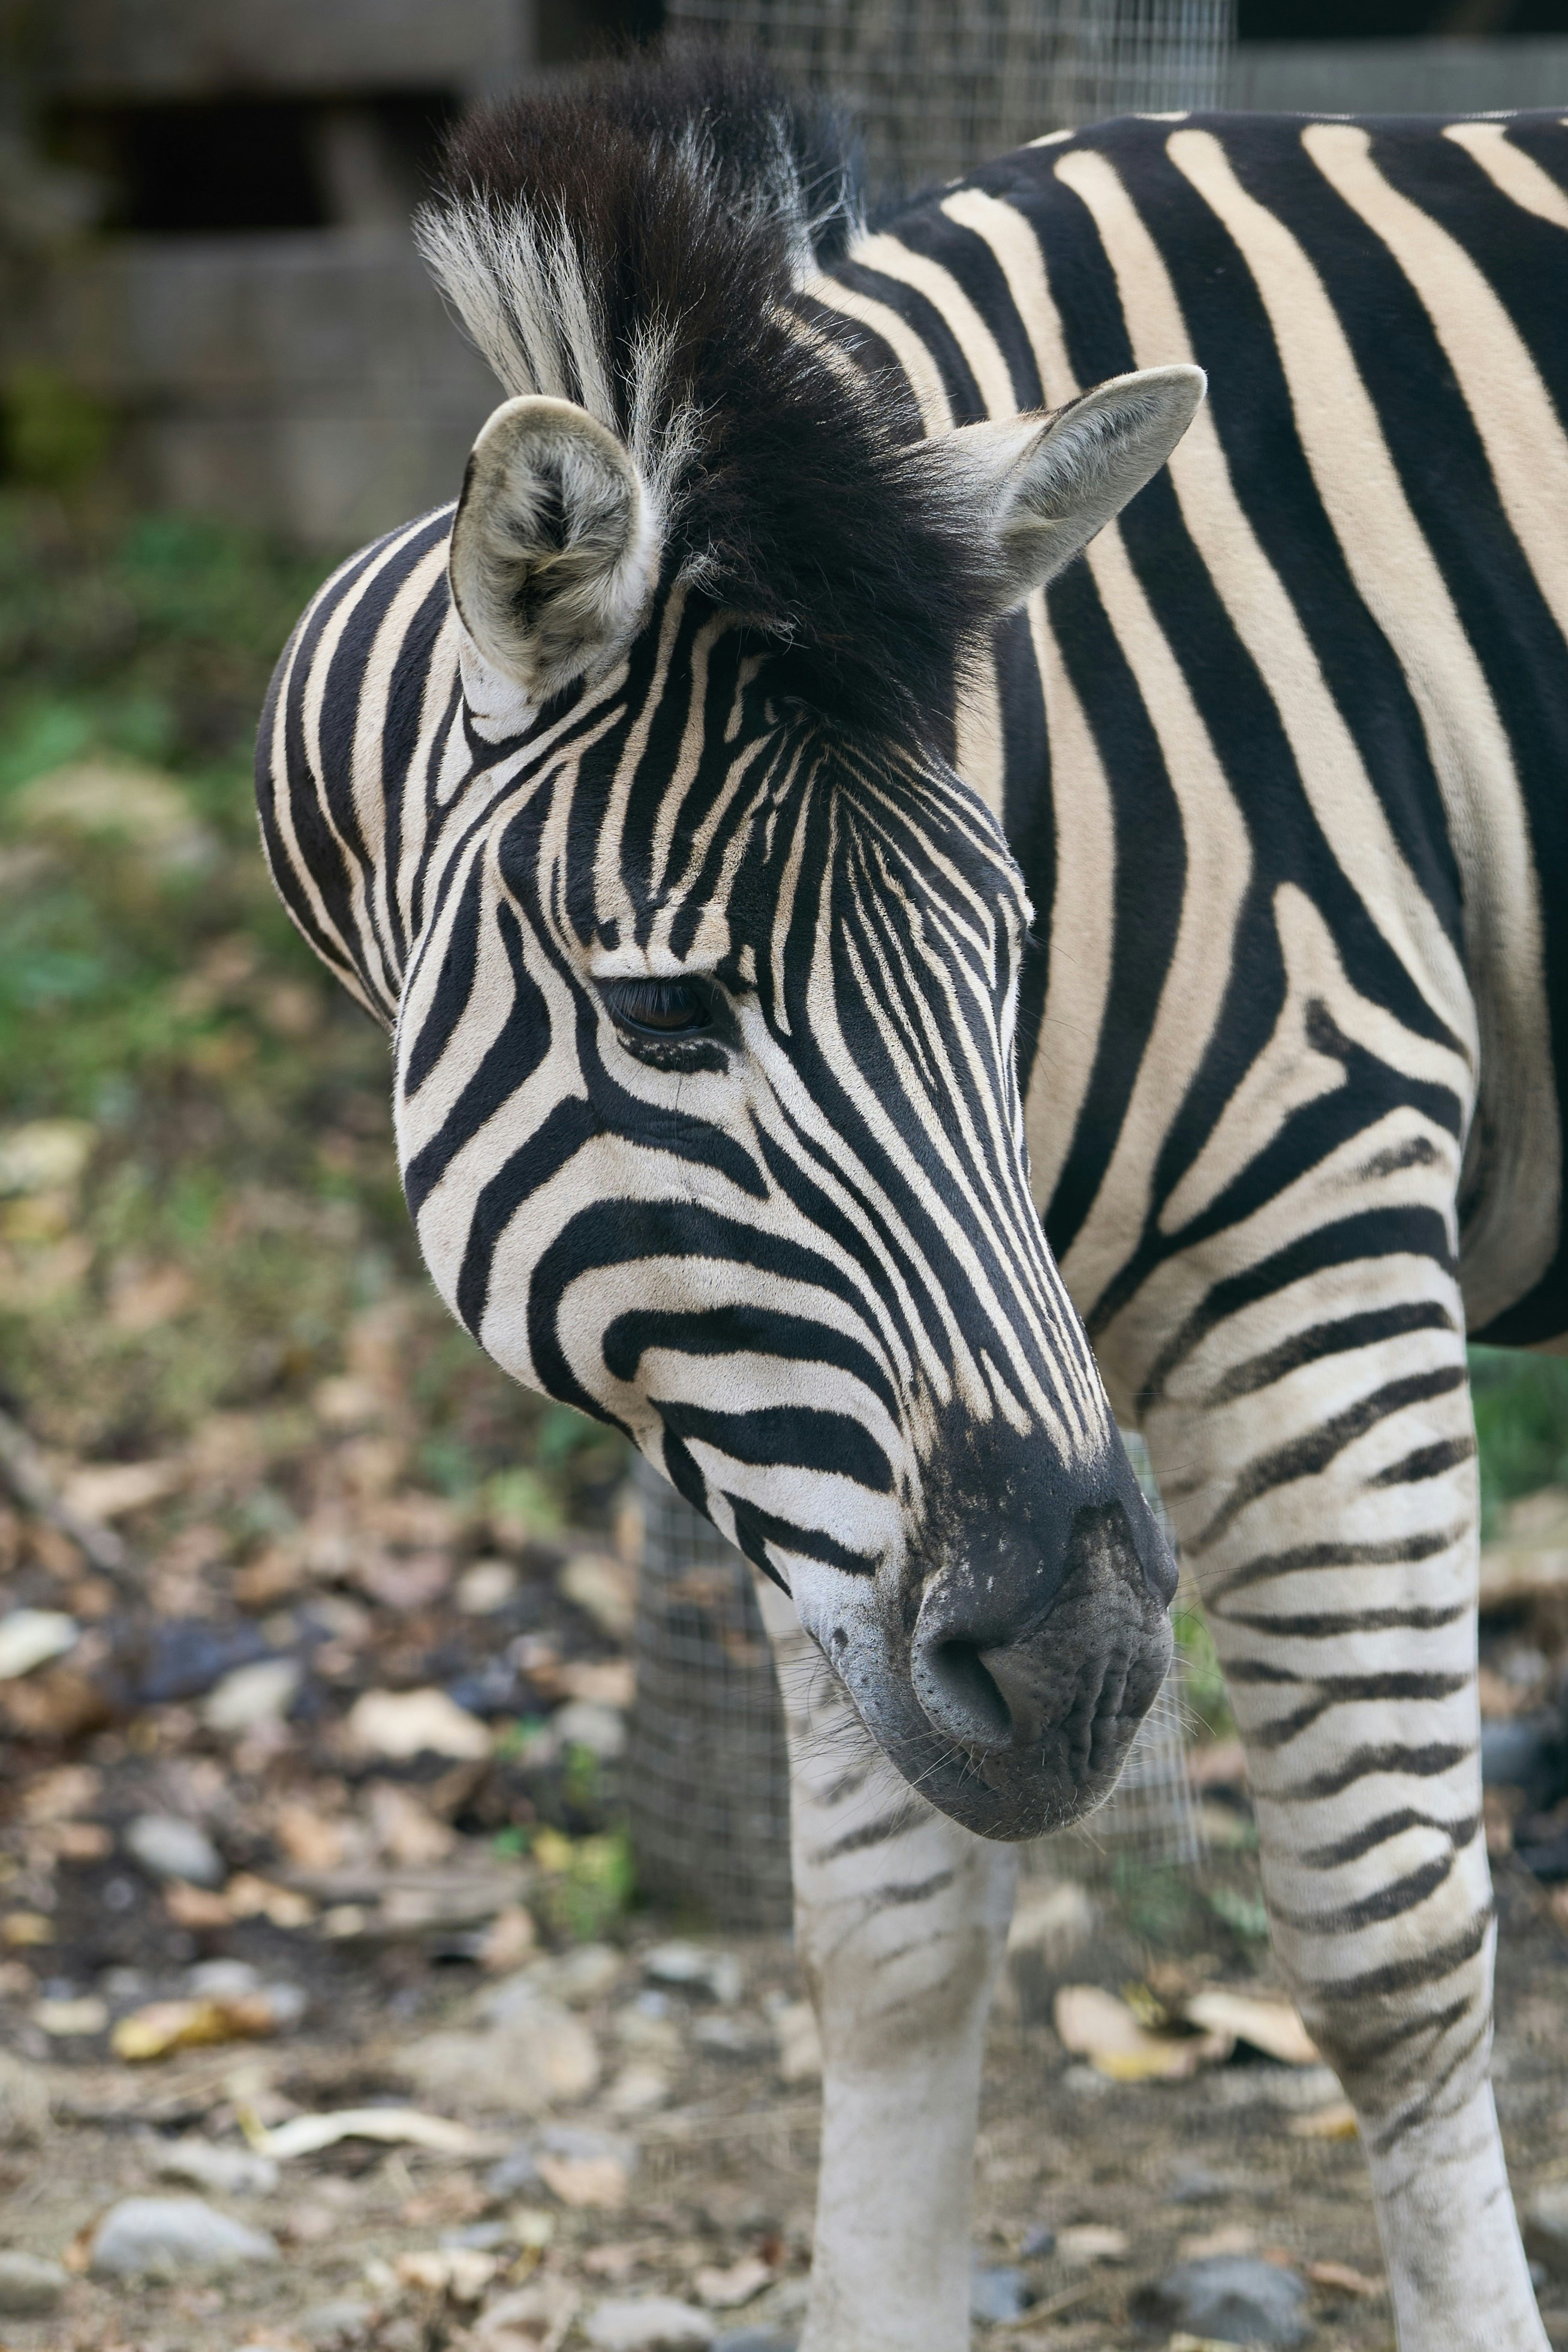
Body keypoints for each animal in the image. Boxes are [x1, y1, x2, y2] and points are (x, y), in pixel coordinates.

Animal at [256, 55, 1567, 2352]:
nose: (1077, 1663)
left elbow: (1390, 1943)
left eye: (1008, 954)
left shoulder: (1318, 1238)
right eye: (667, 1009)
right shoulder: (793, 1460)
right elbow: (885, 1952)